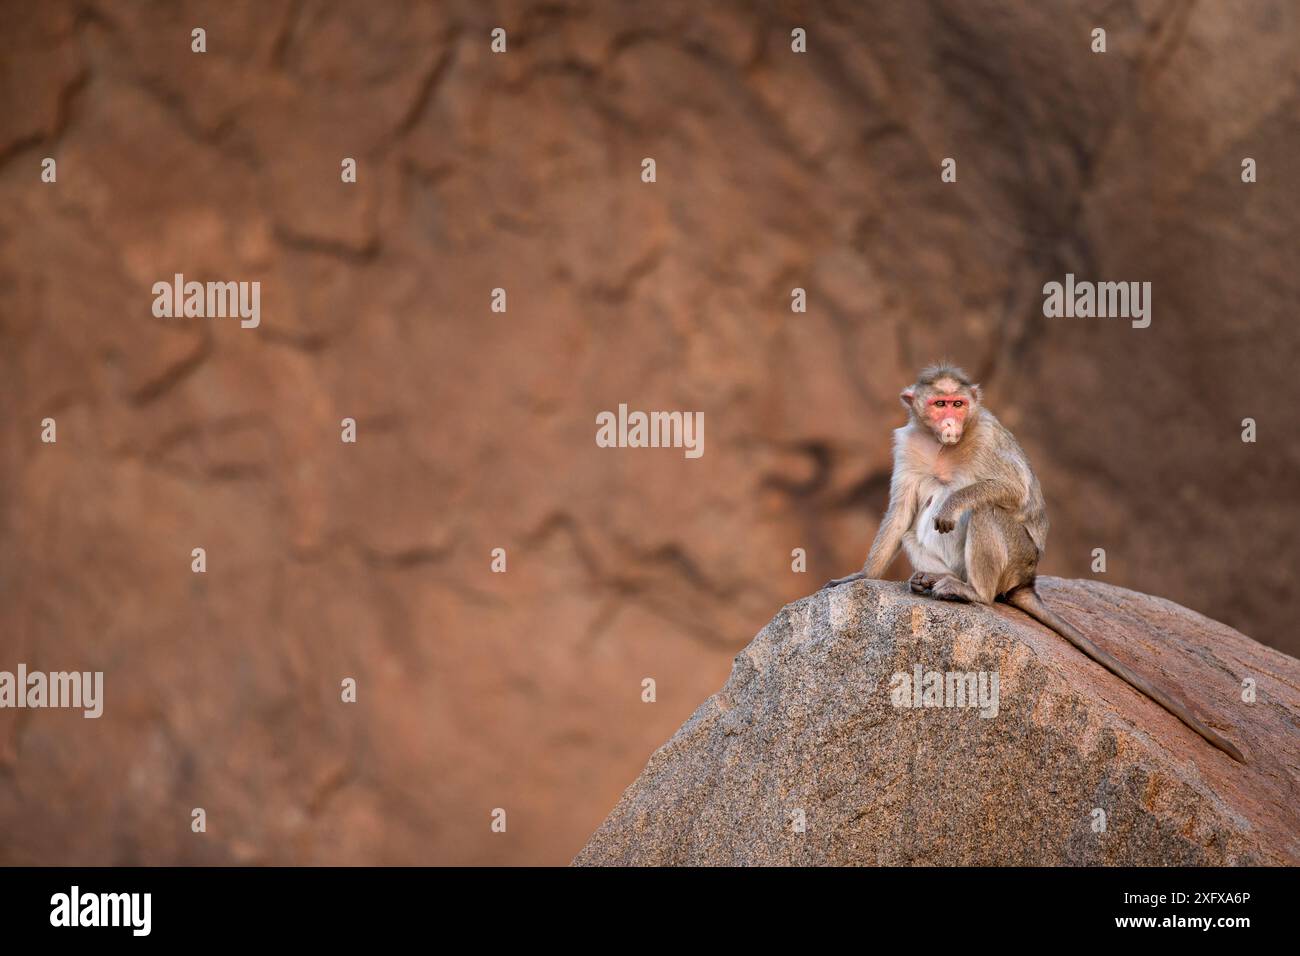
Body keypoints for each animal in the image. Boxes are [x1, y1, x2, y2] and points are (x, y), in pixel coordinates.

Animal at [823, 362, 1245, 763]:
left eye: (958, 404)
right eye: (939, 404)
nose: (950, 423)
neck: (942, 446)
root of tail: (1028, 579)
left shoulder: (985, 434)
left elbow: (1011, 490)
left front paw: (955, 504)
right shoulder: (907, 444)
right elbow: (901, 511)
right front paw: (862, 575)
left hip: (1017, 557)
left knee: (987, 512)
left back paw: (972, 591)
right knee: (918, 520)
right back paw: (931, 578)